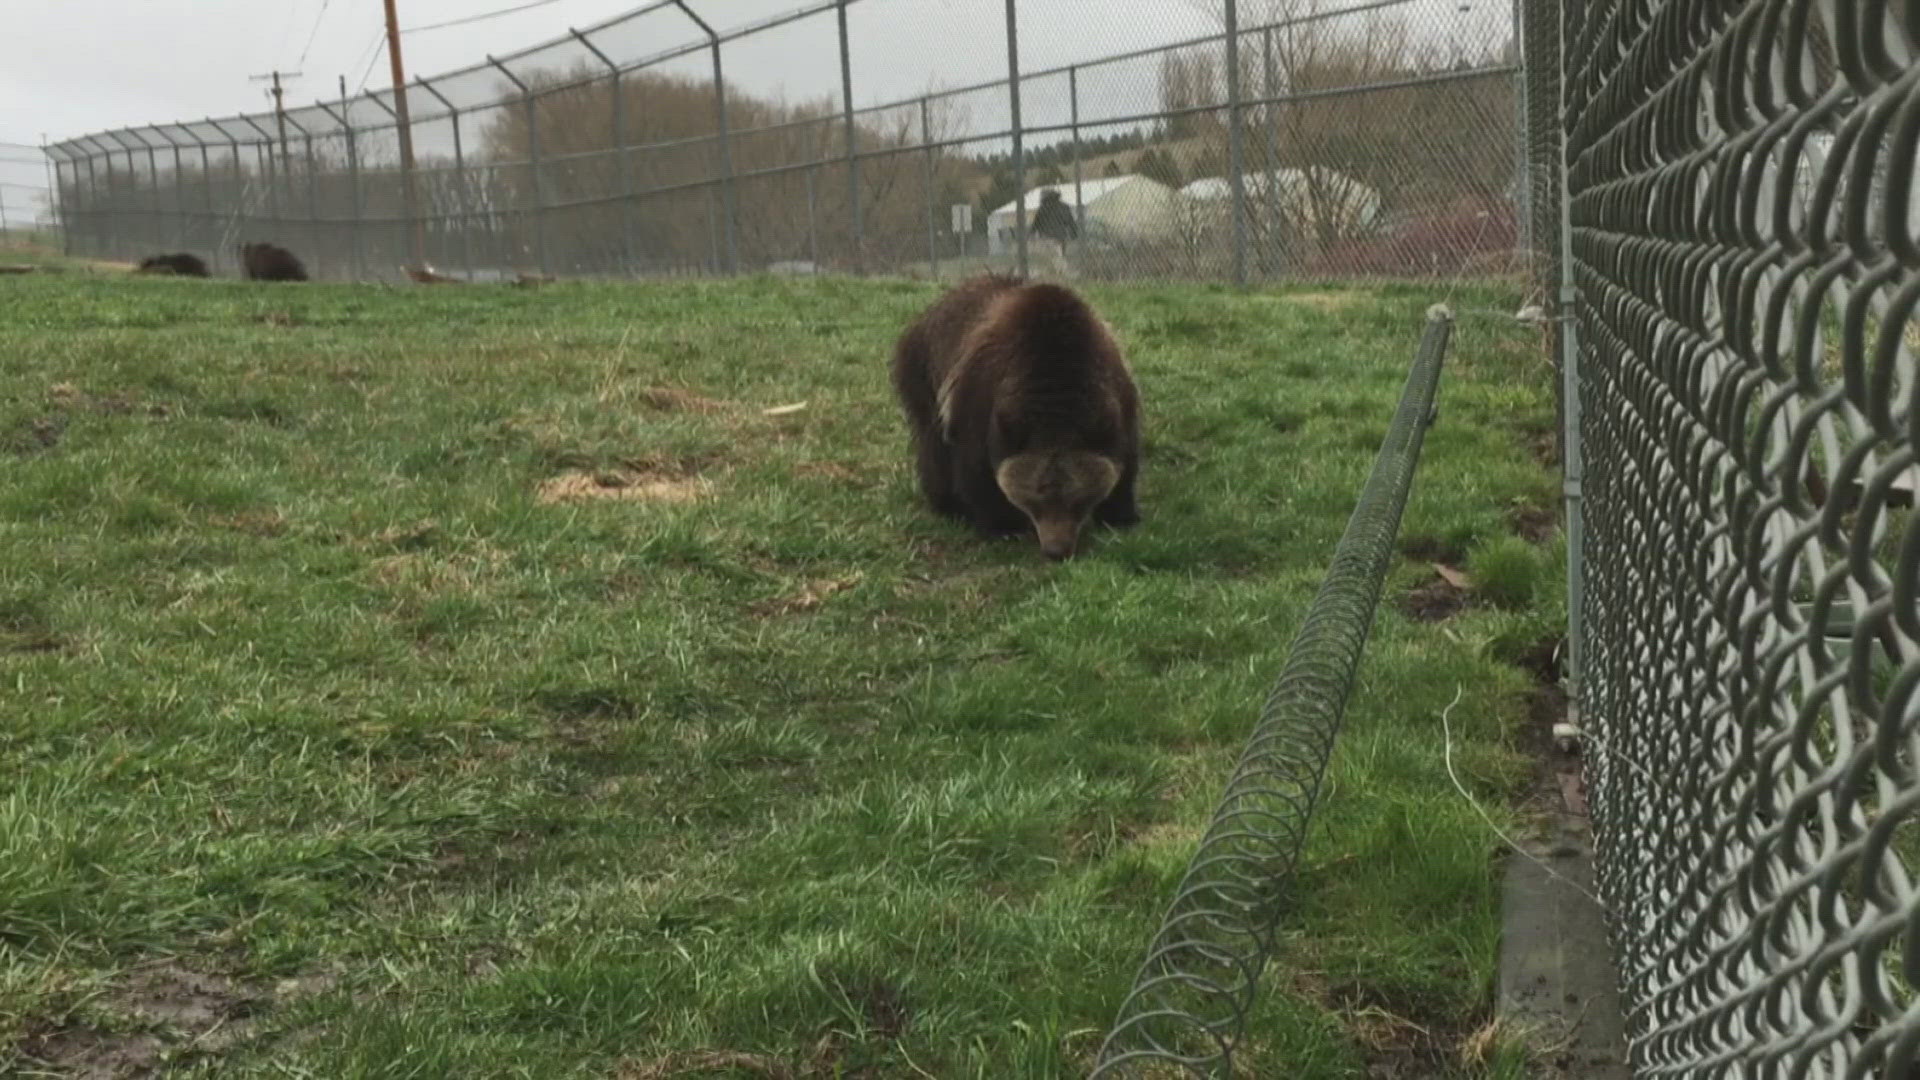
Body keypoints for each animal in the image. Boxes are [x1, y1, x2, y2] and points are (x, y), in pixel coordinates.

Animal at [890, 272, 1141, 561]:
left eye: (1079, 499)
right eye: (1035, 499)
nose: (1057, 550)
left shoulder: (1118, 398)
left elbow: (1124, 461)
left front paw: (1120, 514)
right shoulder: (981, 402)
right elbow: (977, 470)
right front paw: (1003, 525)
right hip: (924, 375)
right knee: (933, 446)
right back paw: (946, 504)